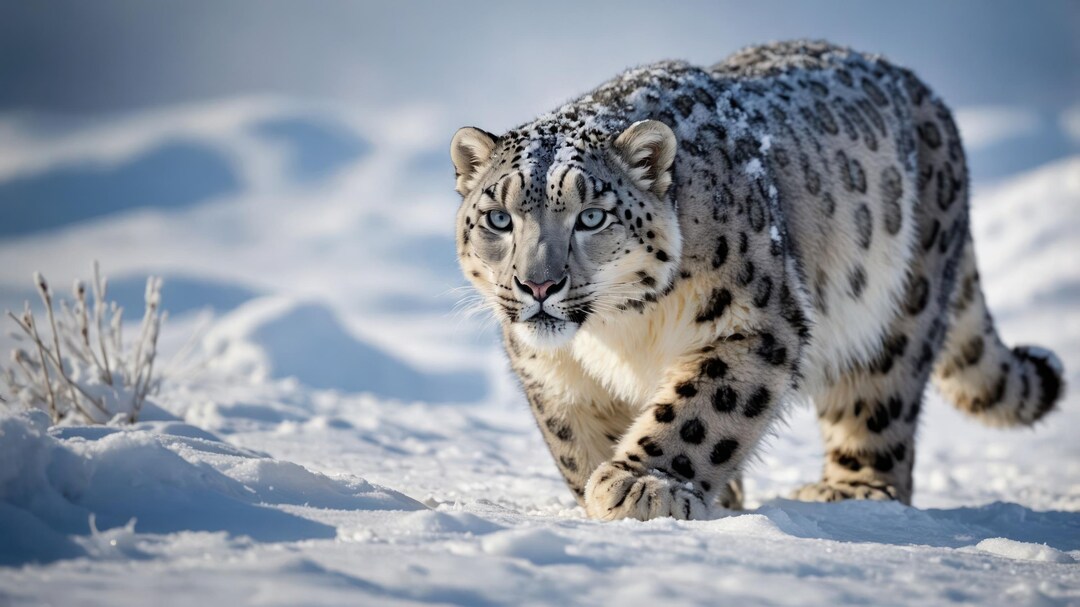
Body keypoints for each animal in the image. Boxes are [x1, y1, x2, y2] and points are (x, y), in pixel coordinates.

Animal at [450, 40, 1065, 521]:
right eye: (499, 219)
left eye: (591, 217)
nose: (538, 286)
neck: (618, 335)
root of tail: (927, 95)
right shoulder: (551, 372)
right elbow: (576, 441)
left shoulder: (752, 327)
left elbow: (701, 413)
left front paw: (645, 484)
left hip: (898, 312)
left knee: (879, 404)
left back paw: (851, 491)